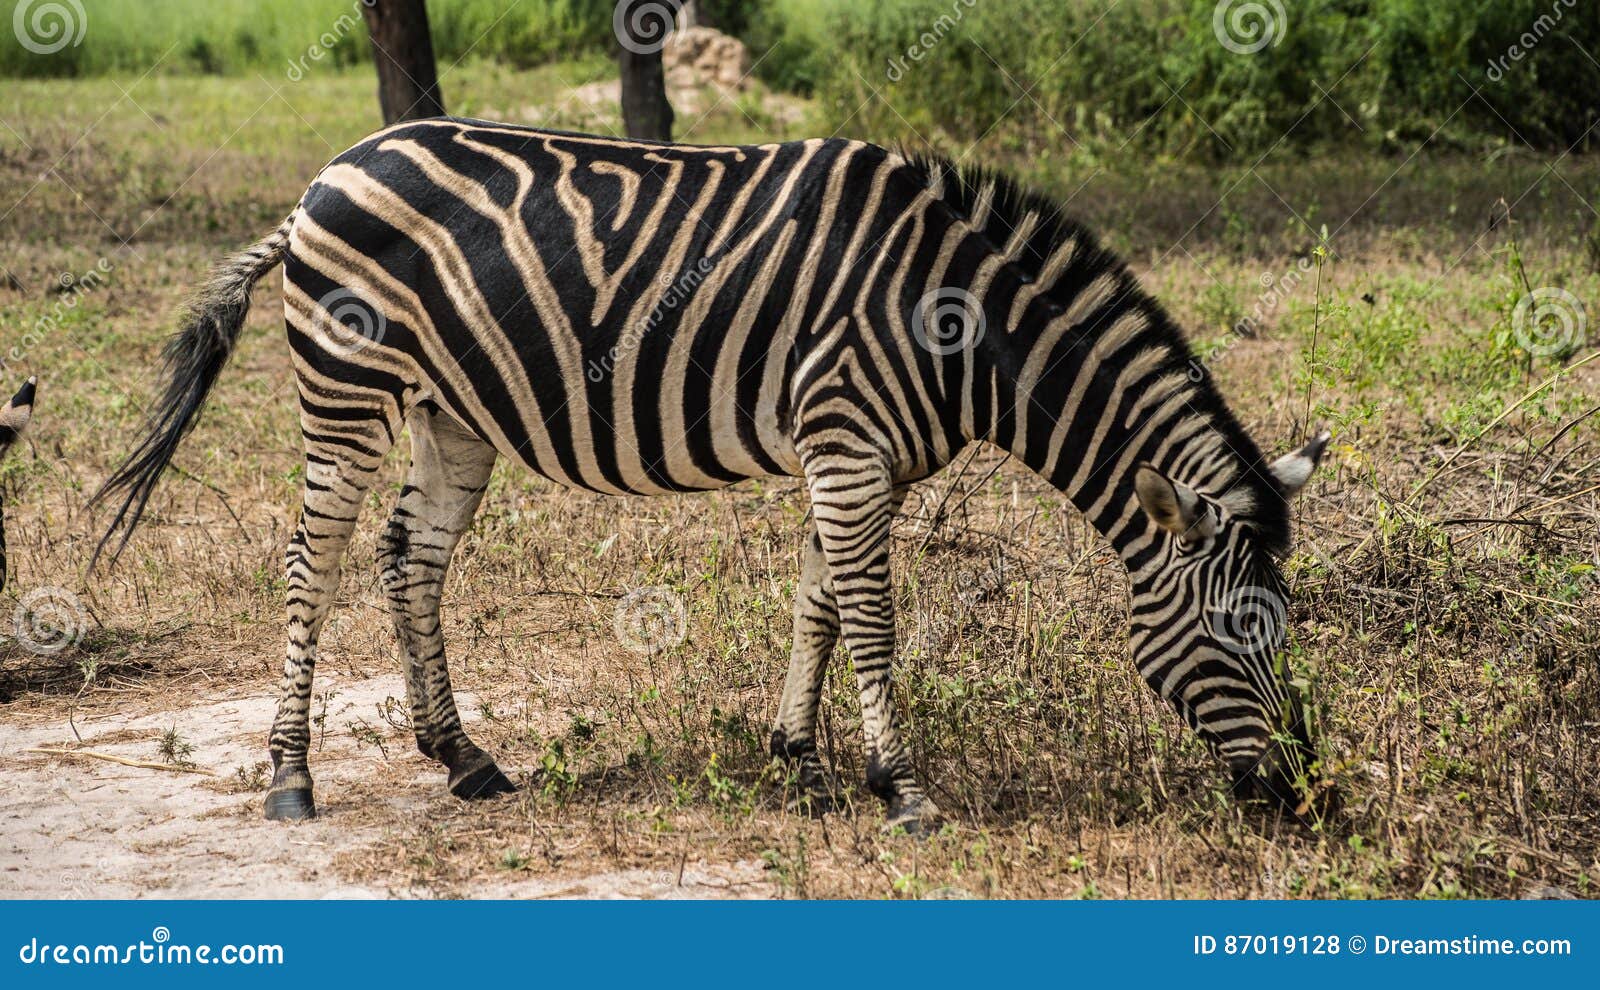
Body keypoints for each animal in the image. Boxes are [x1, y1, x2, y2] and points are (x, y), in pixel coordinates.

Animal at [95, 120, 1330, 830]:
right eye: (1232, 638)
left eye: (1290, 632)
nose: (1304, 798)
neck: (961, 330)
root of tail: (330, 170)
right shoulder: (846, 438)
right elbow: (872, 616)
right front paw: (904, 791)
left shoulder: (858, 452)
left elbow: (822, 602)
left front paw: (803, 764)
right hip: (348, 382)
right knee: (313, 560)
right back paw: (291, 778)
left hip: (455, 407)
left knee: (412, 559)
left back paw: (463, 760)